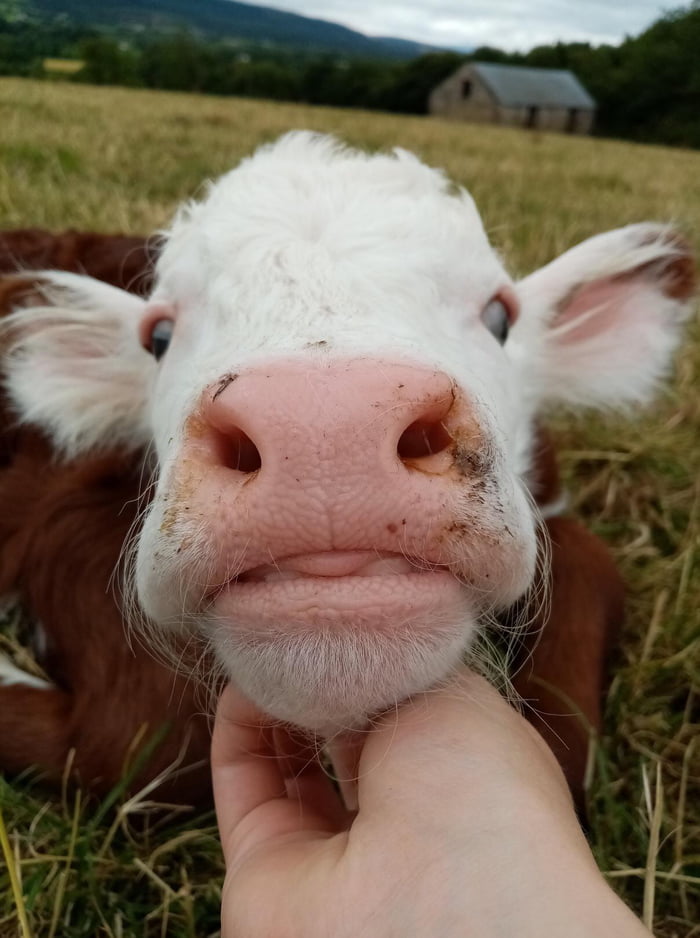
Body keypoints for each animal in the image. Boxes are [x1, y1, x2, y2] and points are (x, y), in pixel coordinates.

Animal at [0, 133, 693, 808]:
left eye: (500, 316)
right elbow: (147, 744)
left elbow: (570, 736)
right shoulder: (66, 513)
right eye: (159, 336)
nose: (324, 432)